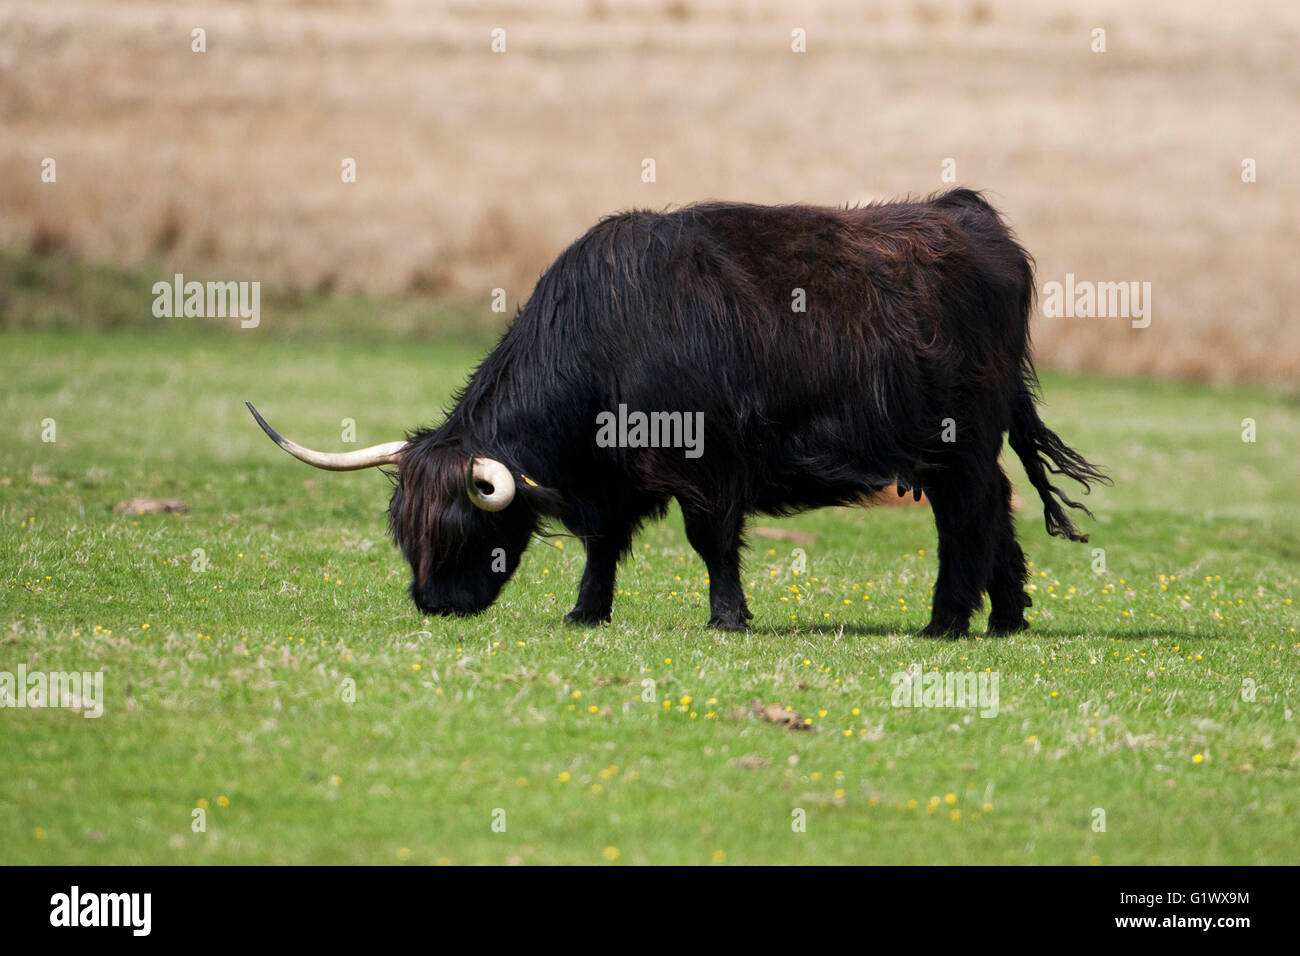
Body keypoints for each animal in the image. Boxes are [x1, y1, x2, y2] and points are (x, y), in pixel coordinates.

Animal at [248, 188, 1108, 635]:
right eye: (404, 530)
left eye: (465, 526)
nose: (432, 603)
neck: (604, 332)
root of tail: (962, 210)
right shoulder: (608, 480)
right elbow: (601, 543)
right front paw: (585, 611)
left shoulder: (708, 463)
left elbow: (712, 542)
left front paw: (729, 616)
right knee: (995, 507)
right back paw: (1006, 616)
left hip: (963, 440)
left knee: (968, 513)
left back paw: (947, 620)